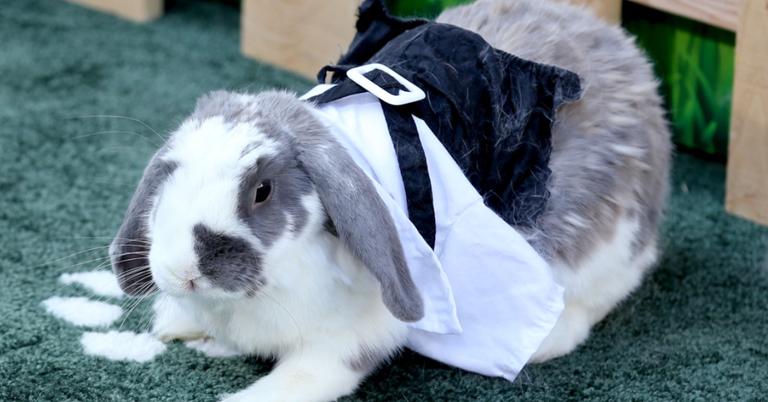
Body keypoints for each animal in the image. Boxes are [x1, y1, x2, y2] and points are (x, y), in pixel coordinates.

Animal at [109, 0, 671, 400]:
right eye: (169, 176)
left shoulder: (349, 336)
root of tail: (633, 64)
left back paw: (547, 339)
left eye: (261, 191)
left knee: (595, 301)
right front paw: (174, 326)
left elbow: (313, 375)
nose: (184, 272)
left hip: (601, 251)